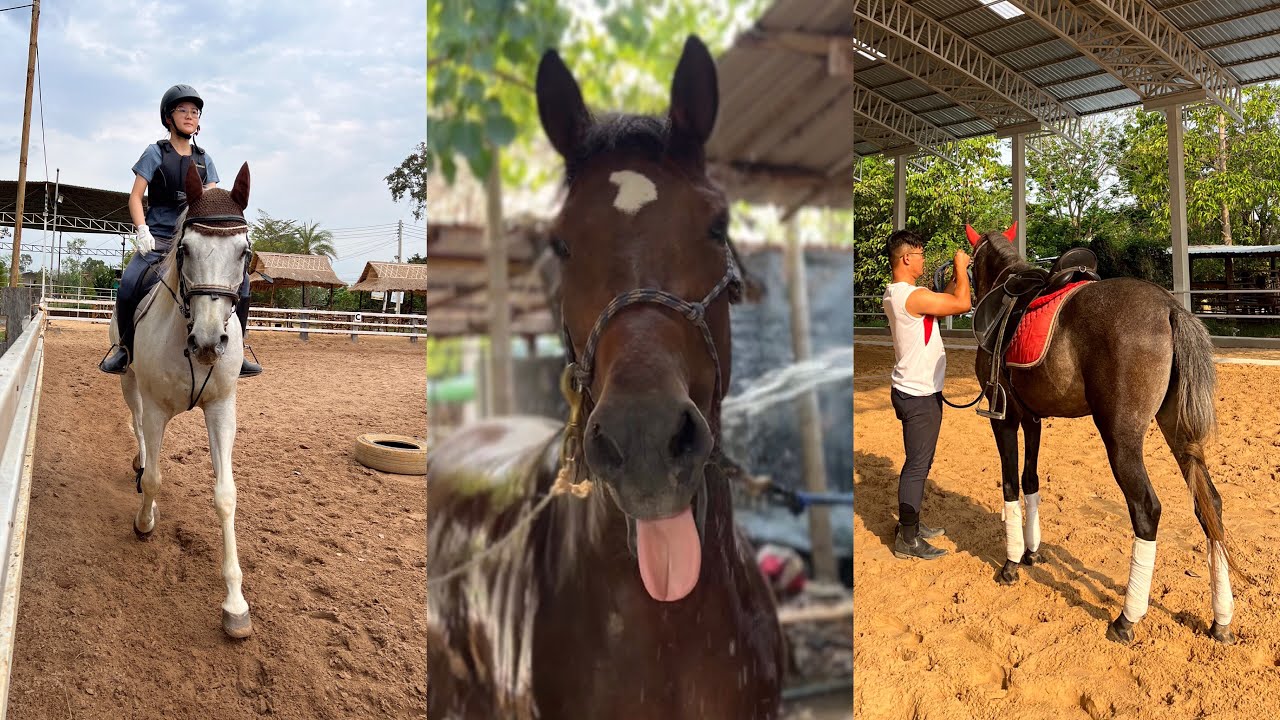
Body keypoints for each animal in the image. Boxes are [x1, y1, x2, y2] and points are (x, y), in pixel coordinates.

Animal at [111, 161, 255, 638]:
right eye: (186, 249)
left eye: (244, 253)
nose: (209, 343)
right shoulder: (156, 407)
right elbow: (156, 478)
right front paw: (144, 521)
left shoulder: (222, 409)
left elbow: (226, 495)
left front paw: (235, 604)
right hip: (129, 383)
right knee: (138, 429)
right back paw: (139, 466)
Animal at [966, 224, 1238, 645]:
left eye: (969, 265)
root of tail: (1171, 309)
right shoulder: (1032, 419)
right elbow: (1030, 481)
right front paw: (1031, 552)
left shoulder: (1004, 418)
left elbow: (1010, 484)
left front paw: (1011, 563)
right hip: (1179, 432)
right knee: (1209, 503)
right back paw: (1221, 619)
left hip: (1120, 439)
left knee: (1147, 510)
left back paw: (1127, 618)